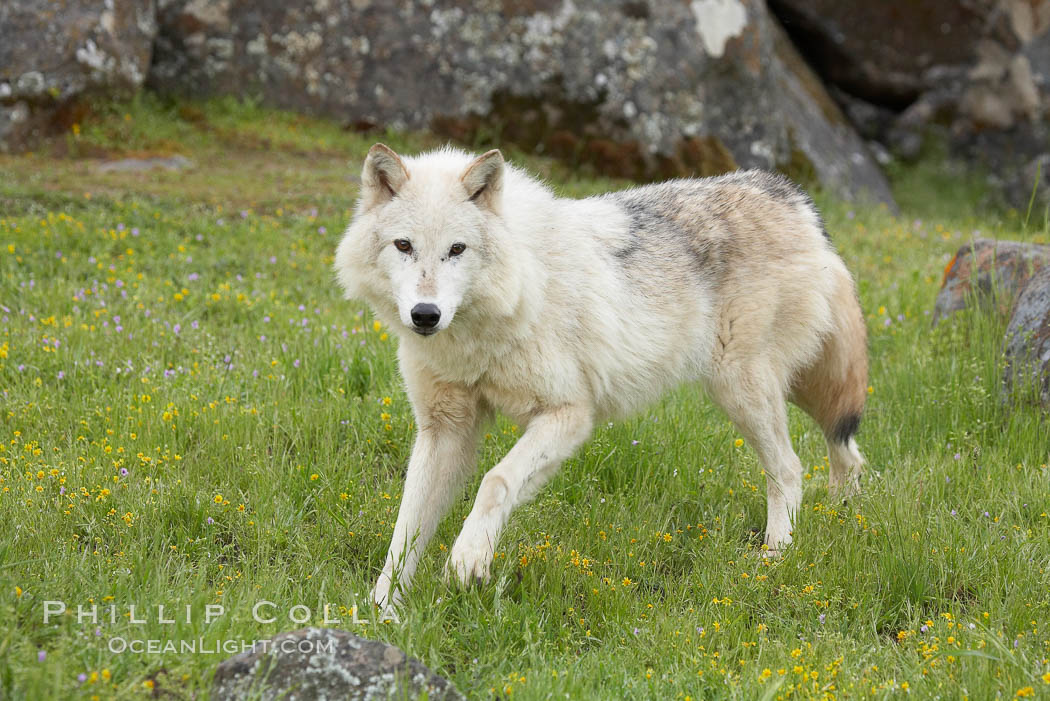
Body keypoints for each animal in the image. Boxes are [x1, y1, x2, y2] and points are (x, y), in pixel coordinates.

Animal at [335, 144, 868, 615]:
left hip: (742, 391)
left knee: (791, 469)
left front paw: (468, 561)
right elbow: (405, 529)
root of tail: (790, 195)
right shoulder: (445, 430)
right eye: (404, 246)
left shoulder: (568, 415)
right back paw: (847, 512)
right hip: (787, 389)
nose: (425, 314)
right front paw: (381, 611)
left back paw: (775, 559)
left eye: (456, 250)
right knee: (845, 450)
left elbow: (495, 481)